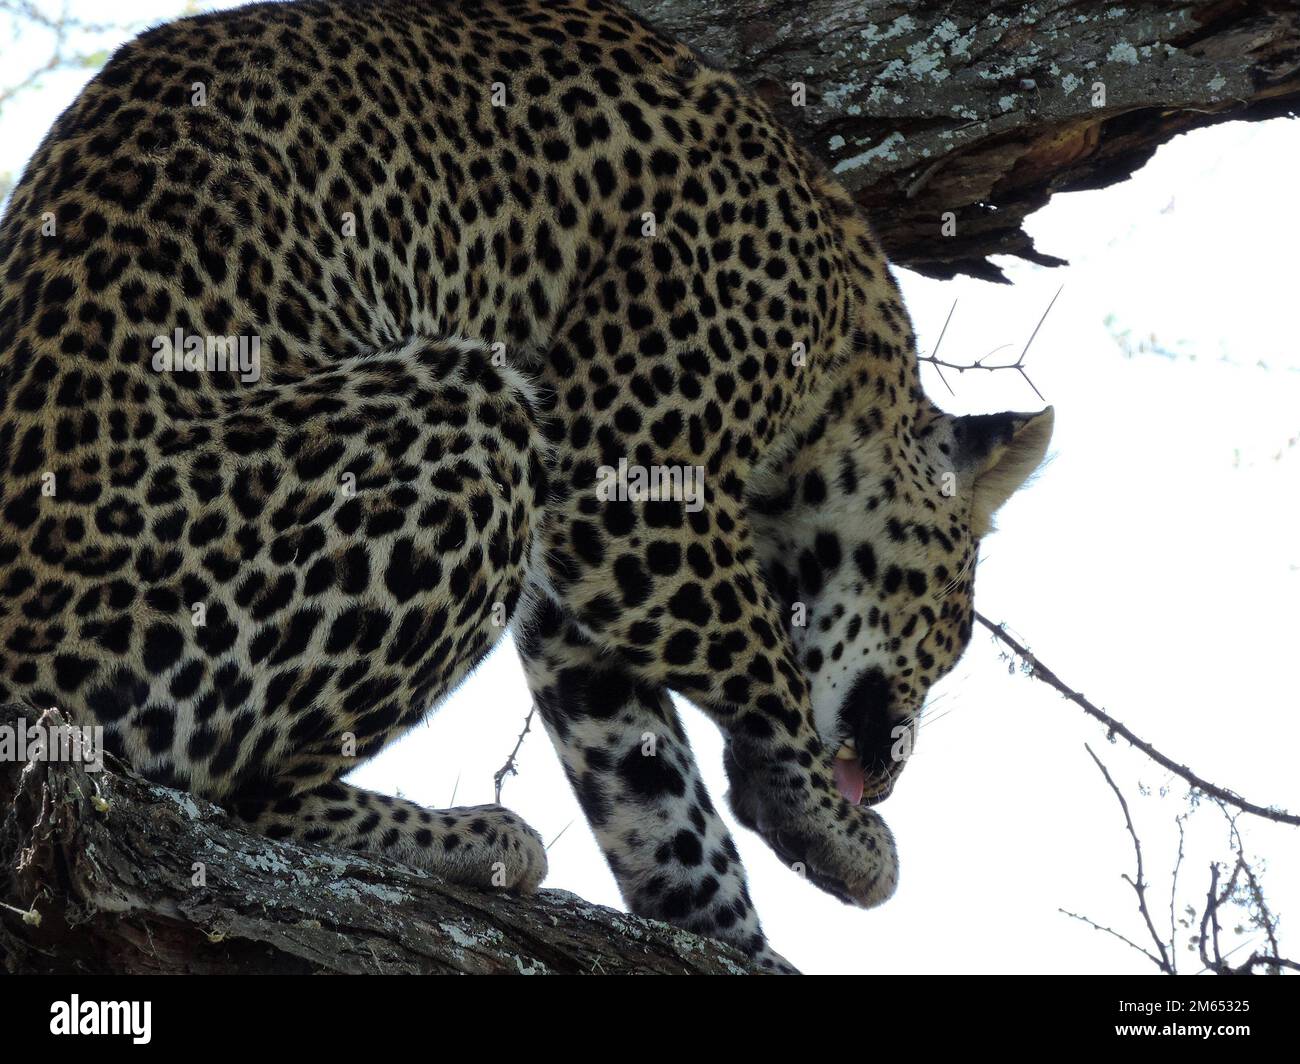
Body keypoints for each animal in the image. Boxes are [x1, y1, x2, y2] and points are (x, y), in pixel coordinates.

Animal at [0, 0, 1053, 973]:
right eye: (948, 640)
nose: (888, 776)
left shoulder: (580, 601)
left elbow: (658, 795)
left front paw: (748, 932)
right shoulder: (625, 481)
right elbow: (763, 660)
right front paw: (837, 829)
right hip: (472, 408)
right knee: (213, 785)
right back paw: (472, 840)